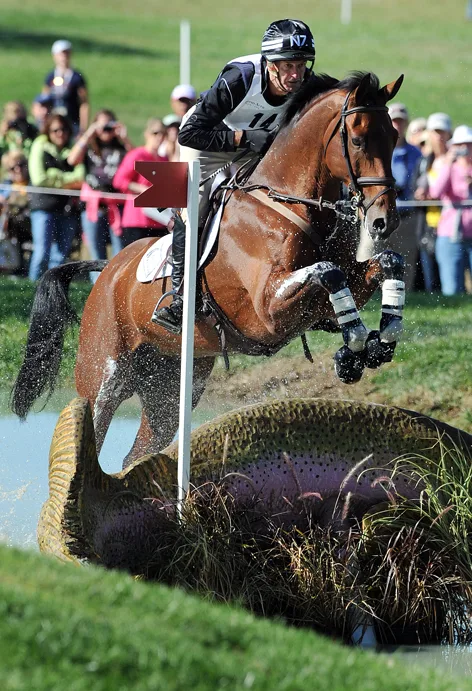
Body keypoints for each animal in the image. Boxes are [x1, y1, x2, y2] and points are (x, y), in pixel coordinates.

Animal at [12, 71, 406, 468]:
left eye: (394, 138)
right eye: (357, 140)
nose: (384, 221)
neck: (288, 204)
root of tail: (109, 269)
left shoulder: (321, 300)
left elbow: (388, 264)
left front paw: (379, 340)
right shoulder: (267, 311)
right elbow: (329, 272)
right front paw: (356, 342)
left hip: (170, 390)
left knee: (137, 454)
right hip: (102, 378)